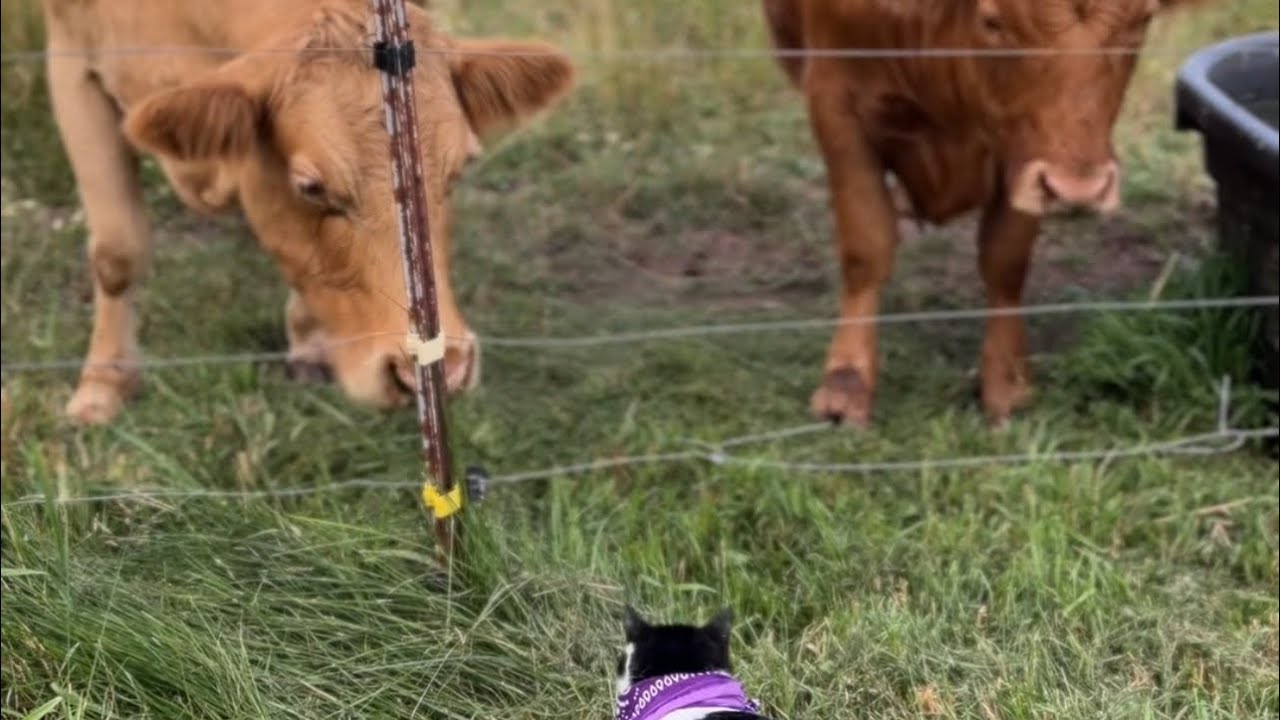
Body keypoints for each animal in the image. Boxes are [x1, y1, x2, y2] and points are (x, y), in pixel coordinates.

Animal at [41, 0, 575, 424]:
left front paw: (310, 342)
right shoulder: (71, 62)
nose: (442, 371)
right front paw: (103, 386)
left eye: (460, 168)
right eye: (311, 187)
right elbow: (118, 252)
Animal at [762, 0, 1207, 427]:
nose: (1077, 190)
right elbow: (866, 246)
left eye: (1144, 19)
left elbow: (1005, 259)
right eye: (993, 21)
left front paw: (1007, 382)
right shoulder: (835, 106)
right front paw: (845, 386)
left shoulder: (1022, 154)